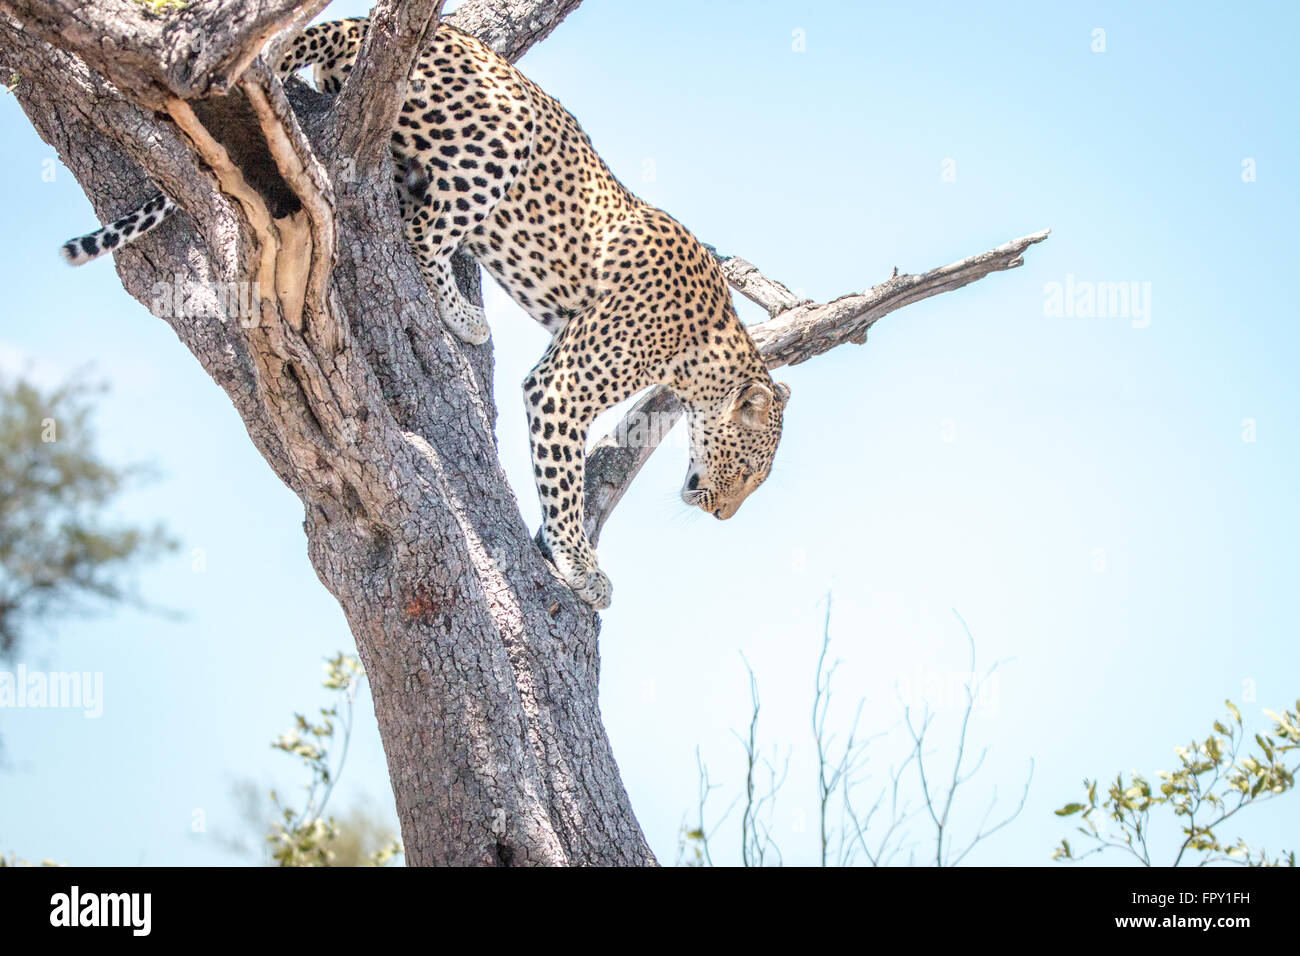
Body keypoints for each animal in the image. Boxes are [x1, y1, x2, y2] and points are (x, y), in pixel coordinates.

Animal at [58, 16, 792, 610]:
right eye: (750, 474)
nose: (723, 514)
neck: (707, 350)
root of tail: (357, 22)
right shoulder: (560, 387)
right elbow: (562, 484)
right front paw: (582, 569)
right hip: (500, 134)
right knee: (419, 233)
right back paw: (461, 315)